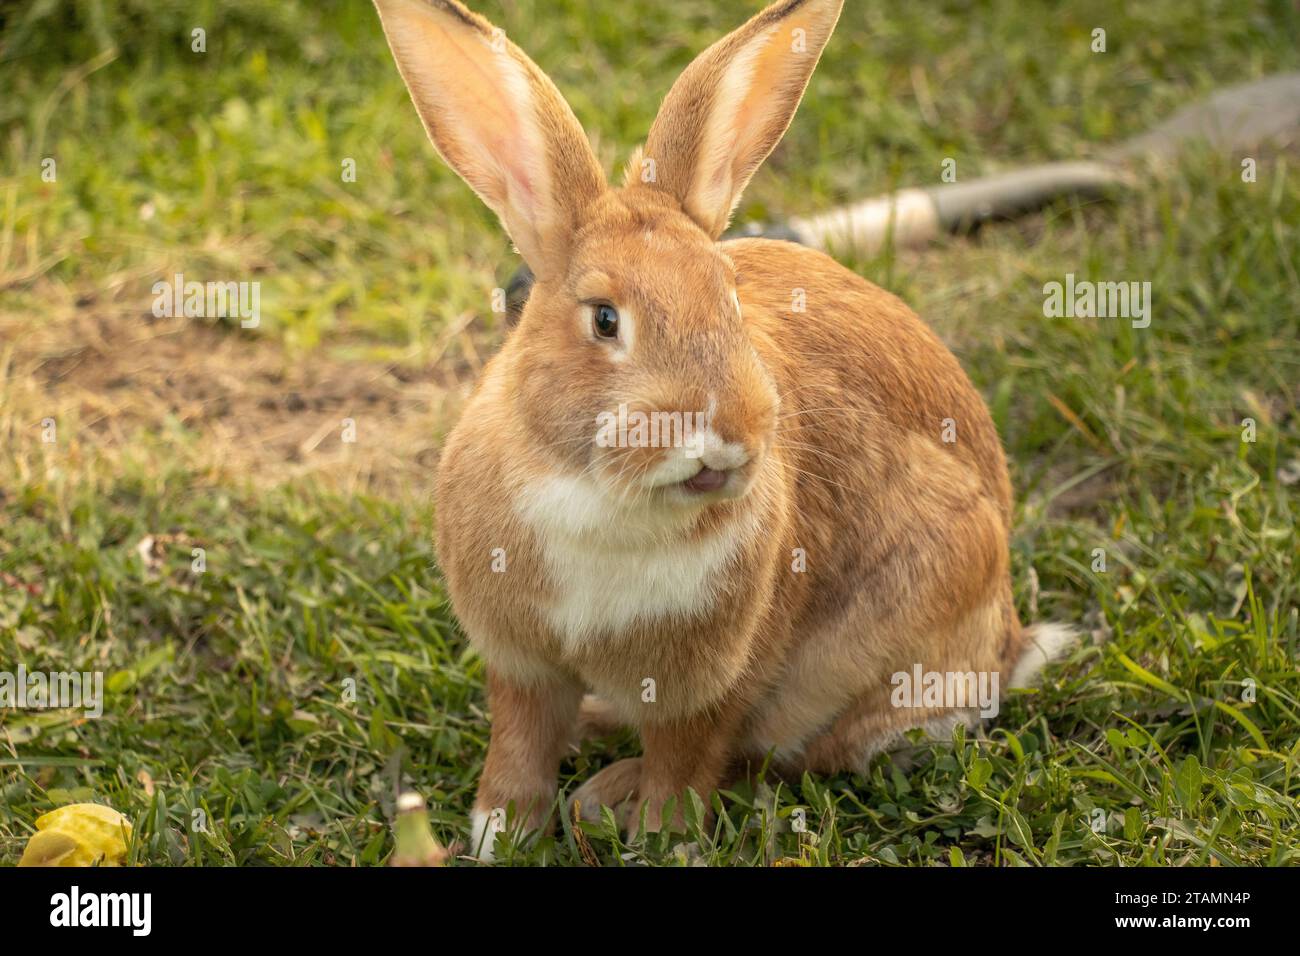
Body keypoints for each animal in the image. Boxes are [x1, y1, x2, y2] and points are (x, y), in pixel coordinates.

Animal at [373, 0, 1075, 861]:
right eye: (605, 320)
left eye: (730, 297)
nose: (727, 435)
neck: (599, 492)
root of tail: (1006, 648)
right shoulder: (521, 664)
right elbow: (520, 747)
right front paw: (496, 834)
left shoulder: (711, 683)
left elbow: (689, 760)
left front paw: (657, 837)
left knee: (793, 755)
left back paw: (607, 793)